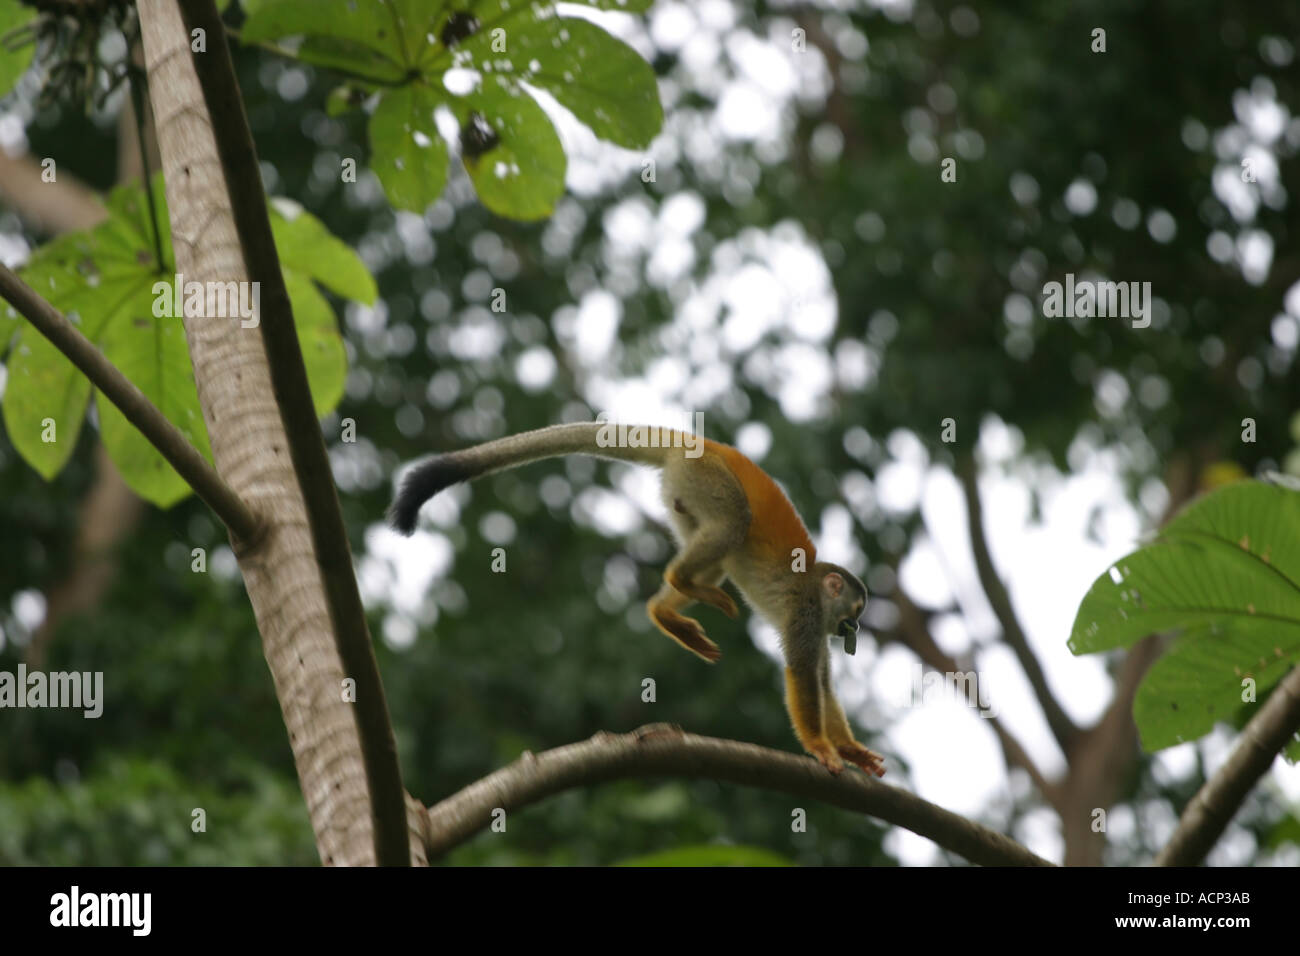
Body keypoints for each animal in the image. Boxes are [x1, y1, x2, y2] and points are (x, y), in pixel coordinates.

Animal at [389, 422, 885, 777]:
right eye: (857, 612)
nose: (858, 629)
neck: (818, 591)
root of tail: (700, 442)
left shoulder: (816, 624)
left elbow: (822, 682)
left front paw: (850, 749)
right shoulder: (806, 612)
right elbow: (802, 675)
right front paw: (821, 747)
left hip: (684, 494)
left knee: (717, 543)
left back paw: (665, 609)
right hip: (707, 479)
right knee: (734, 522)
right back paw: (681, 581)